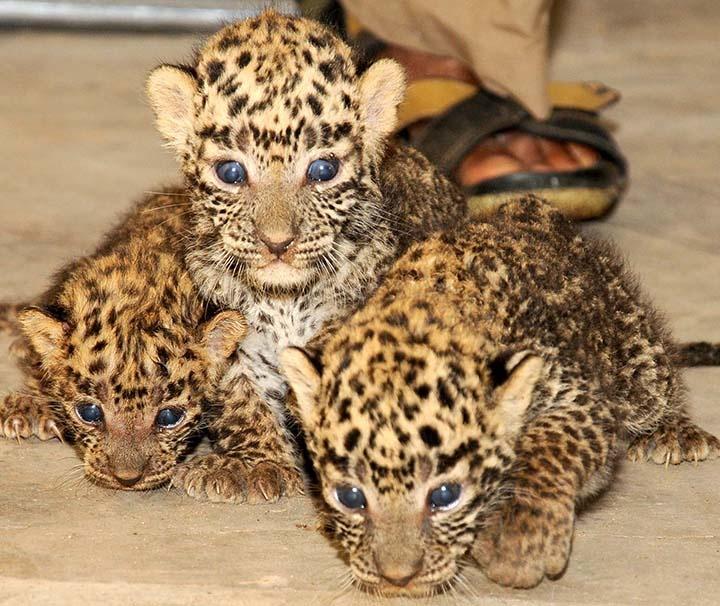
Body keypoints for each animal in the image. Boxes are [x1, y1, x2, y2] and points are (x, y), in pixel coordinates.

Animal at [143, 10, 467, 501]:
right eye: (231, 172)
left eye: (322, 170)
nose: (277, 242)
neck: (285, 303)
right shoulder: (230, 327)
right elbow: (240, 394)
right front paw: (254, 462)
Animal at [281, 196, 720, 596]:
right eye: (351, 497)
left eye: (444, 496)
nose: (398, 579)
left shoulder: (580, 396)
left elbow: (549, 445)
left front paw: (518, 537)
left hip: (636, 357)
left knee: (659, 377)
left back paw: (676, 432)